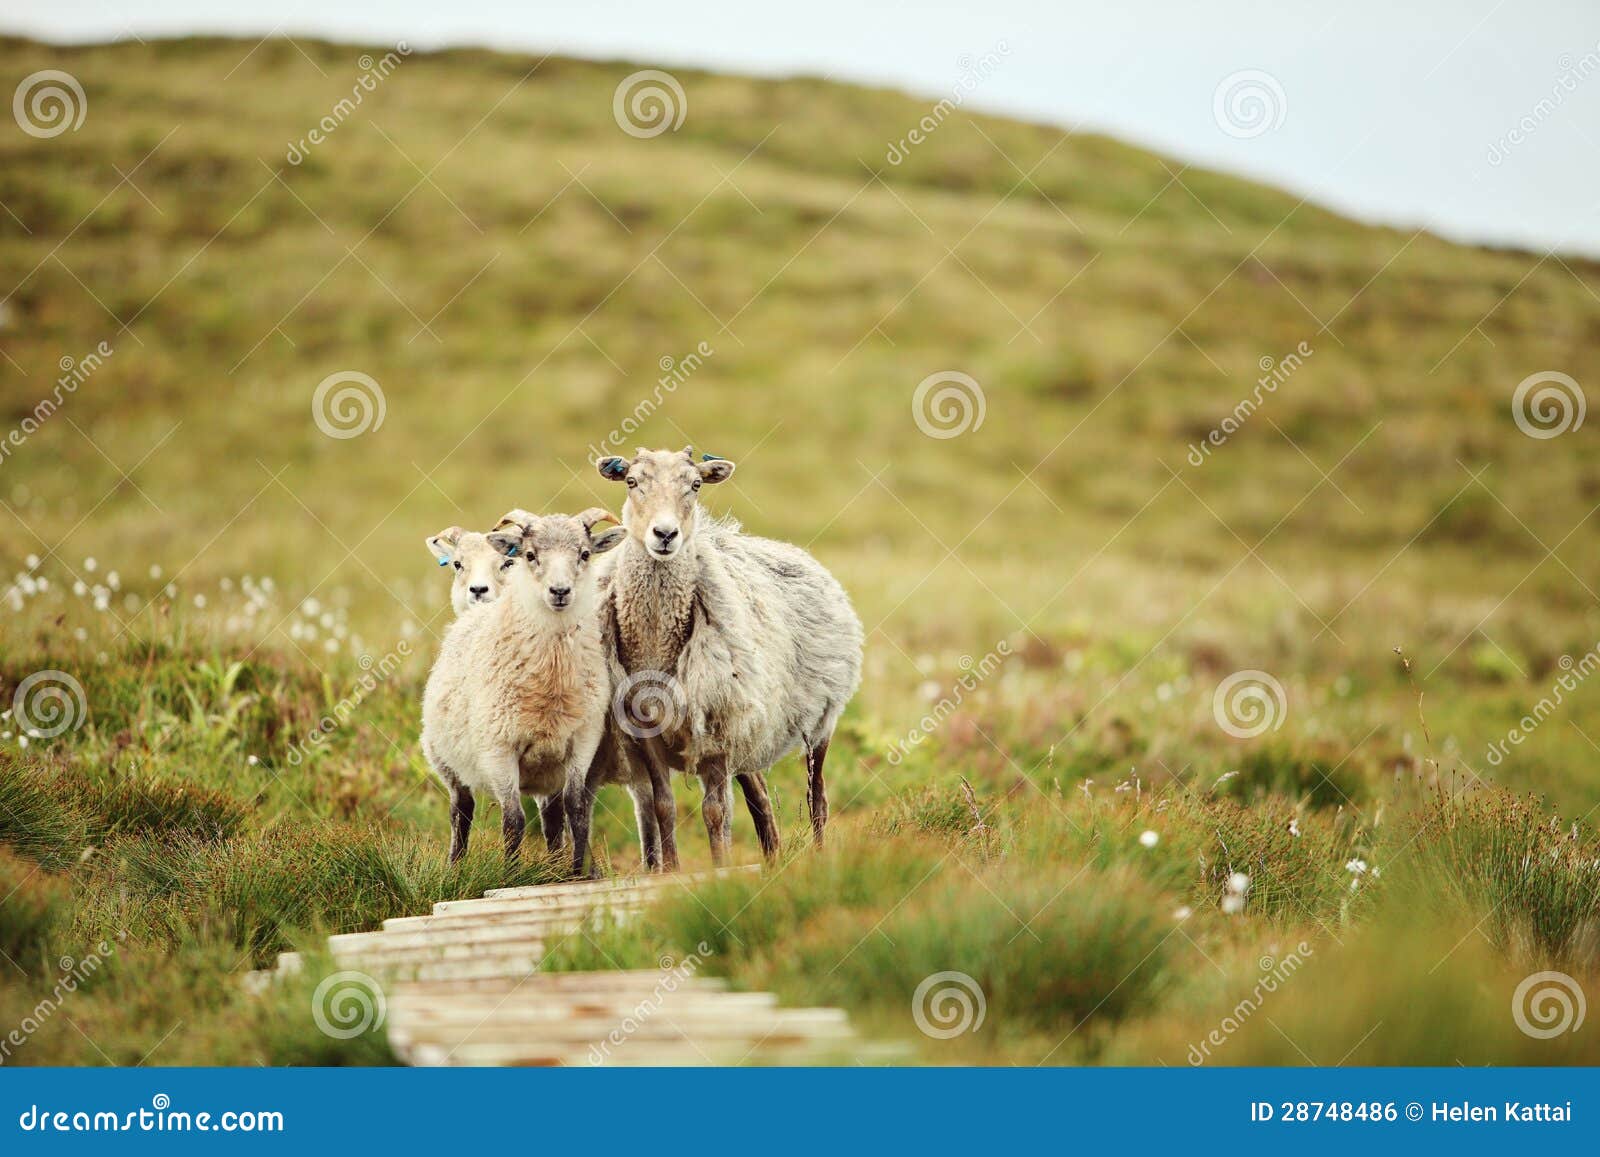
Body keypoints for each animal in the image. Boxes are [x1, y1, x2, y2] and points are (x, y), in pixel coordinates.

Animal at [420, 509, 639, 874]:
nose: (560, 591)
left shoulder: (582, 740)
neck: (552, 679)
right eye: (531, 555)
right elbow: (513, 821)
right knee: (460, 810)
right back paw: (456, 866)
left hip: (547, 770)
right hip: (445, 760)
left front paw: (576, 873)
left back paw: (555, 867)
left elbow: (576, 811)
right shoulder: (498, 749)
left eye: (584, 554)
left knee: (552, 818)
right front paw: (510, 874)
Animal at [596, 447, 863, 868]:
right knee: (761, 799)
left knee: (816, 794)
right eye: (632, 482)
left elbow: (715, 812)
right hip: (751, 730)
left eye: (695, 485)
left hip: (821, 717)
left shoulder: (718, 732)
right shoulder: (645, 731)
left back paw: (819, 856)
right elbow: (663, 805)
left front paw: (720, 868)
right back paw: (772, 859)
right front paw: (671, 872)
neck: (656, 646)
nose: (665, 535)